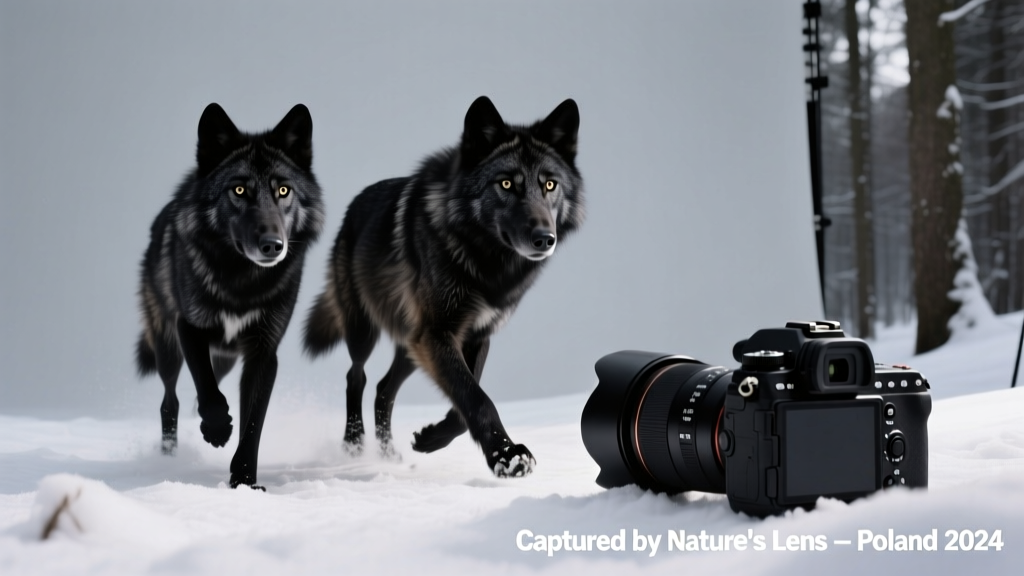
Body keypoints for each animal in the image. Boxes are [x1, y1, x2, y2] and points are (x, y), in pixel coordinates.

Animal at [136, 103, 325, 489]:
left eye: (284, 191)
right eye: (239, 190)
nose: (273, 245)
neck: (243, 283)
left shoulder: (263, 353)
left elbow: (253, 423)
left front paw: (244, 481)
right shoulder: (189, 329)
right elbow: (208, 394)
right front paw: (218, 429)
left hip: (224, 357)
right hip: (167, 348)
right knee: (170, 401)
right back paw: (169, 457)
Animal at [302, 96, 584, 477]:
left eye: (549, 185)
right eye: (506, 185)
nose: (544, 238)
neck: (485, 262)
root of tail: (352, 208)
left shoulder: (475, 334)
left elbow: (466, 401)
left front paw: (430, 438)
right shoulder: (438, 334)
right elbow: (476, 398)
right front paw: (508, 456)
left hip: (411, 344)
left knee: (383, 388)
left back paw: (387, 455)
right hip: (366, 331)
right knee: (355, 376)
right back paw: (354, 445)